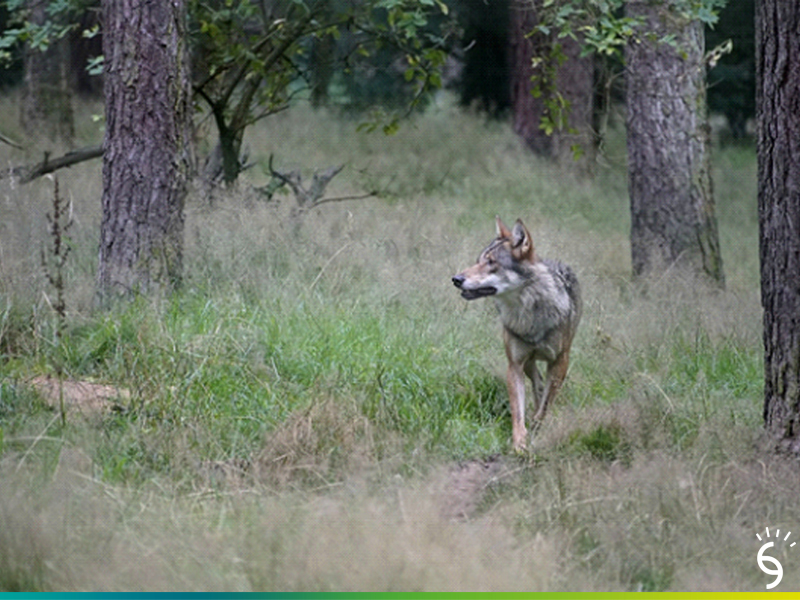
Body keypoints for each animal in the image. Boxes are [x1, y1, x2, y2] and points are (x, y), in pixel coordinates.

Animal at [450, 217, 580, 450]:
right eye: (478, 261)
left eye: (491, 262)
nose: (456, 279)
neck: (528, 313)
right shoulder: (515, 365)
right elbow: (517, 411)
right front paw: (519, 443)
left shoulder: (560, 362)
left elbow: (545, 406)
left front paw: (537, 428)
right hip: (528, 363)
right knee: (538, 383)